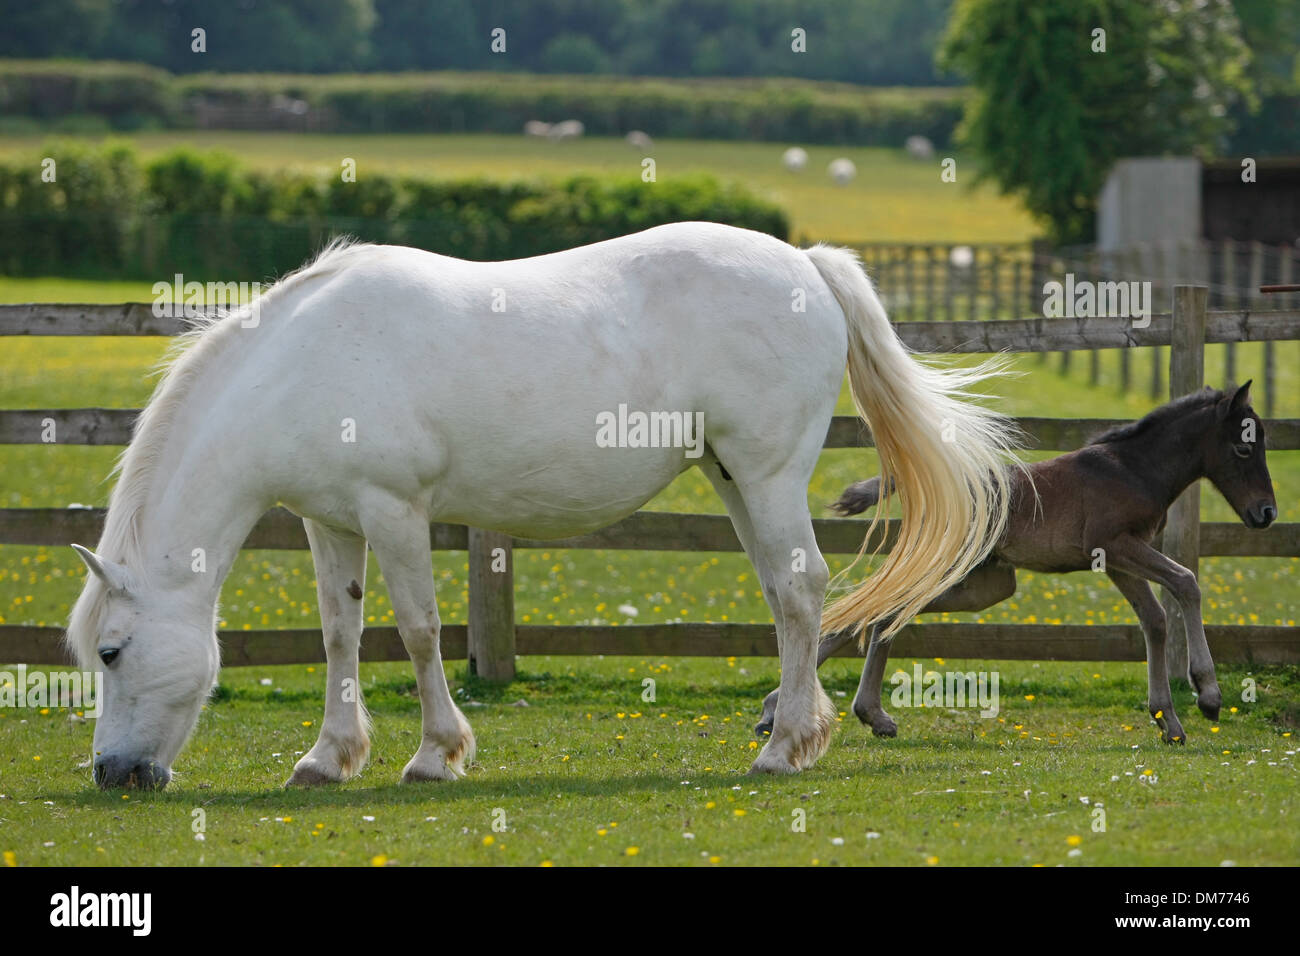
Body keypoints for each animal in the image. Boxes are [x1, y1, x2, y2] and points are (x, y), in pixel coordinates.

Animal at [65, 222, 1020, 789]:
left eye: (111, 652)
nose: (112, 772)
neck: (303, 363)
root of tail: (808, 265)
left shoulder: (394, 512)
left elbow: (418, 632)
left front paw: (435, 754)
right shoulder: (331, 522)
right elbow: (341, 634)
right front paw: (328, 758)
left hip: (768, 472)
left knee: (800, 590)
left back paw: (782, 748)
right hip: (733, 479)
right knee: (788, 595)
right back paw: (800, 731)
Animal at [757, 383, 1277, 745]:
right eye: (1244, 447)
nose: (1267, 513)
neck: (1134, 469)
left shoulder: (1118, 561)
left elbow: (1153, 621)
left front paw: (1168, 720)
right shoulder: (1116, 547)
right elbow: (1187, 582)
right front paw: (1207, 694)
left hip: (987, 583)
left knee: (884, 612)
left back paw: (834, 713)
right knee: (878, 608)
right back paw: (797, 709)